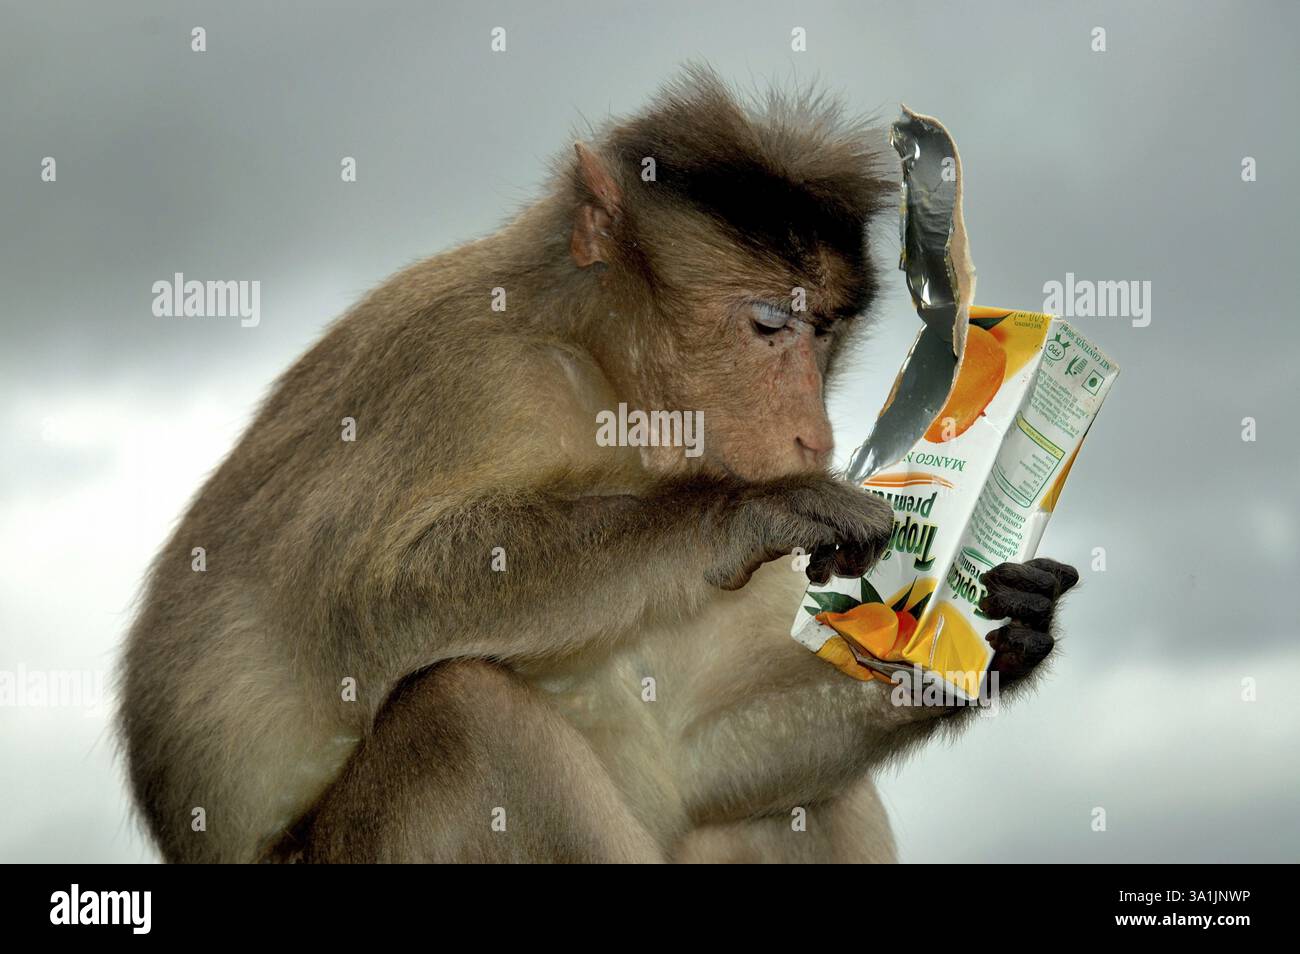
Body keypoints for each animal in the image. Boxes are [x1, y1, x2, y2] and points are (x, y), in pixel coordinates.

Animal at [118, 66, 1079, 864]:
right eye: (770, 324)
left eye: (827, 330)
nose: (814, 436)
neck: (617, 393)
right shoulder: (470, 370)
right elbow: (367, 606)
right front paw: (742, 514)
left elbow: (695, 762)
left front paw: (994, 639)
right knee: (464, 715)